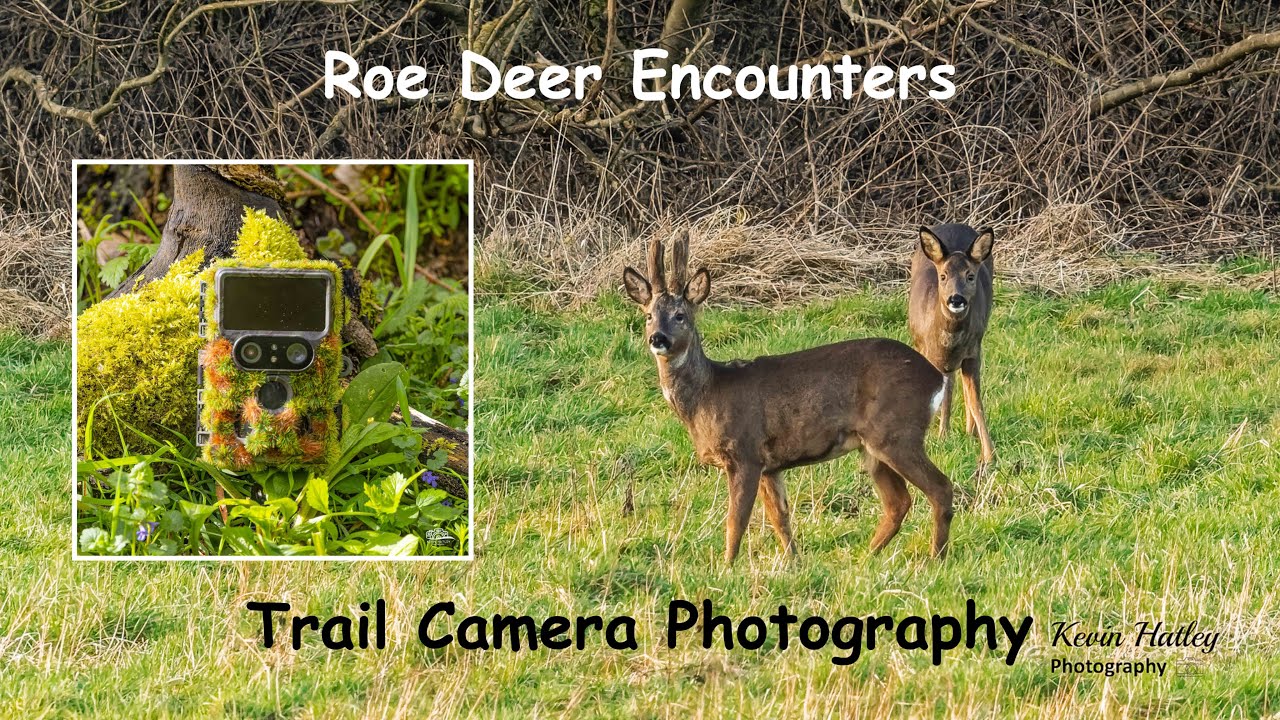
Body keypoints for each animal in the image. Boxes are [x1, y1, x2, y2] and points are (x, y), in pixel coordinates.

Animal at [622, 232, 956, 564]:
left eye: (680, 315)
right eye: (648, 315)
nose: (658, 338)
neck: (708, 395)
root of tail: (935, 379)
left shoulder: (745, 452)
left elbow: (735, 520)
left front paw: (727, 566)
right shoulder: (771, 465)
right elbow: (780, 518)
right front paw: (794, 562)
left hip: (896, 432)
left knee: (940, 488)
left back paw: (935, 558)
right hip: (873, 446)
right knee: (898, 502)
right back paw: (865, 558)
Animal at [908, 224, 996, 473]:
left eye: (970, 275)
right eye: (943, 276)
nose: (956, 299)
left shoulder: (972, 353)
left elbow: (976, 401)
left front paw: (988, 456)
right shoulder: (930, 353)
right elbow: (940, 395)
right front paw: (939, 437)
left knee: (961, 388)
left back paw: (969, 431)